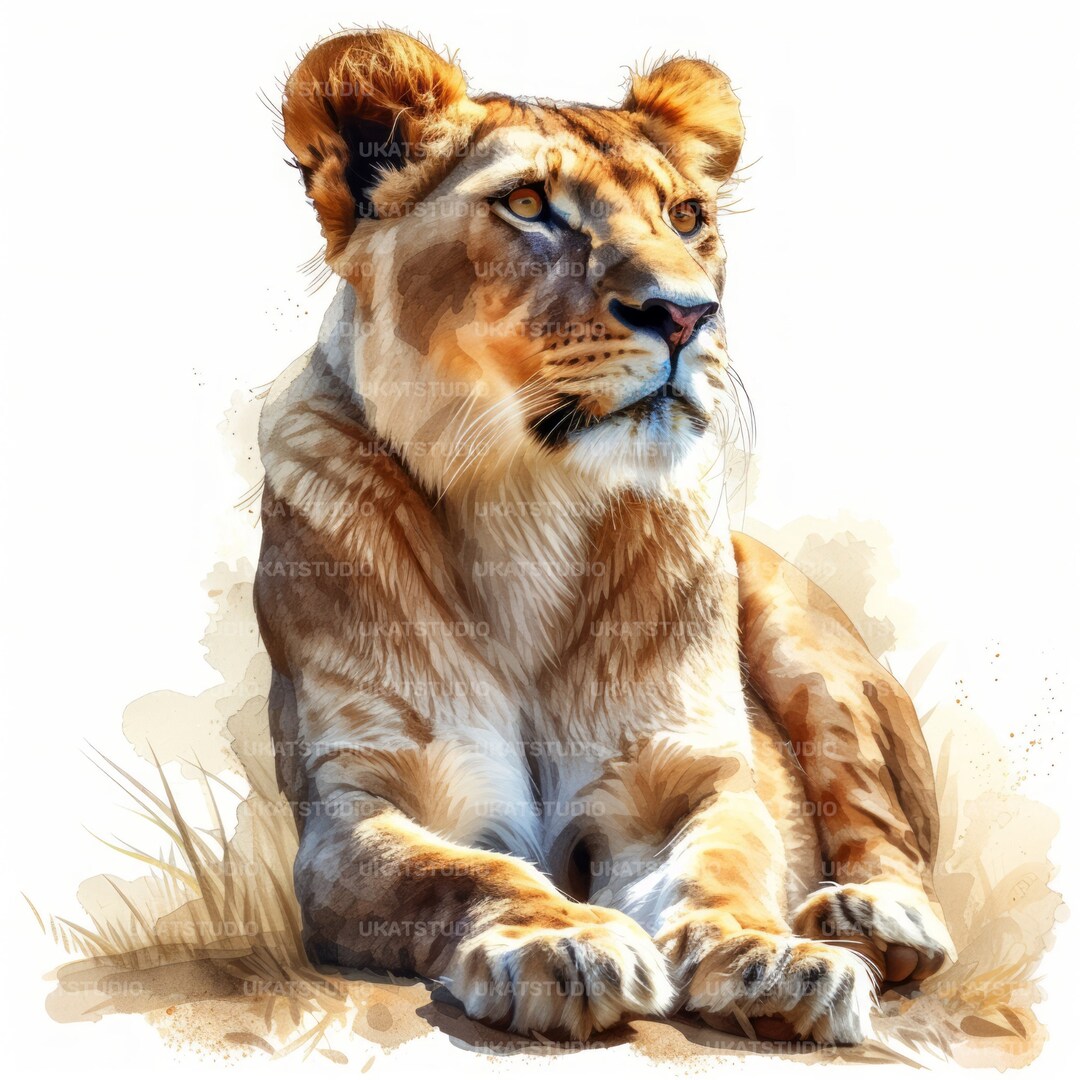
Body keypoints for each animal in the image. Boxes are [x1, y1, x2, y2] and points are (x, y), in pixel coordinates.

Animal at [254, 28, 955, 1045]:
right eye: (528, 206)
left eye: (688, 216)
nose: (687, 313)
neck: (527, 507)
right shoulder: (359, 802)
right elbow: (462, 872)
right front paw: (561, 943)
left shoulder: (685, 782)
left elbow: (726, 863)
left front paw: (766, 957)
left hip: (805, 644)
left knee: (876, 819)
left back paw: (872, 918)